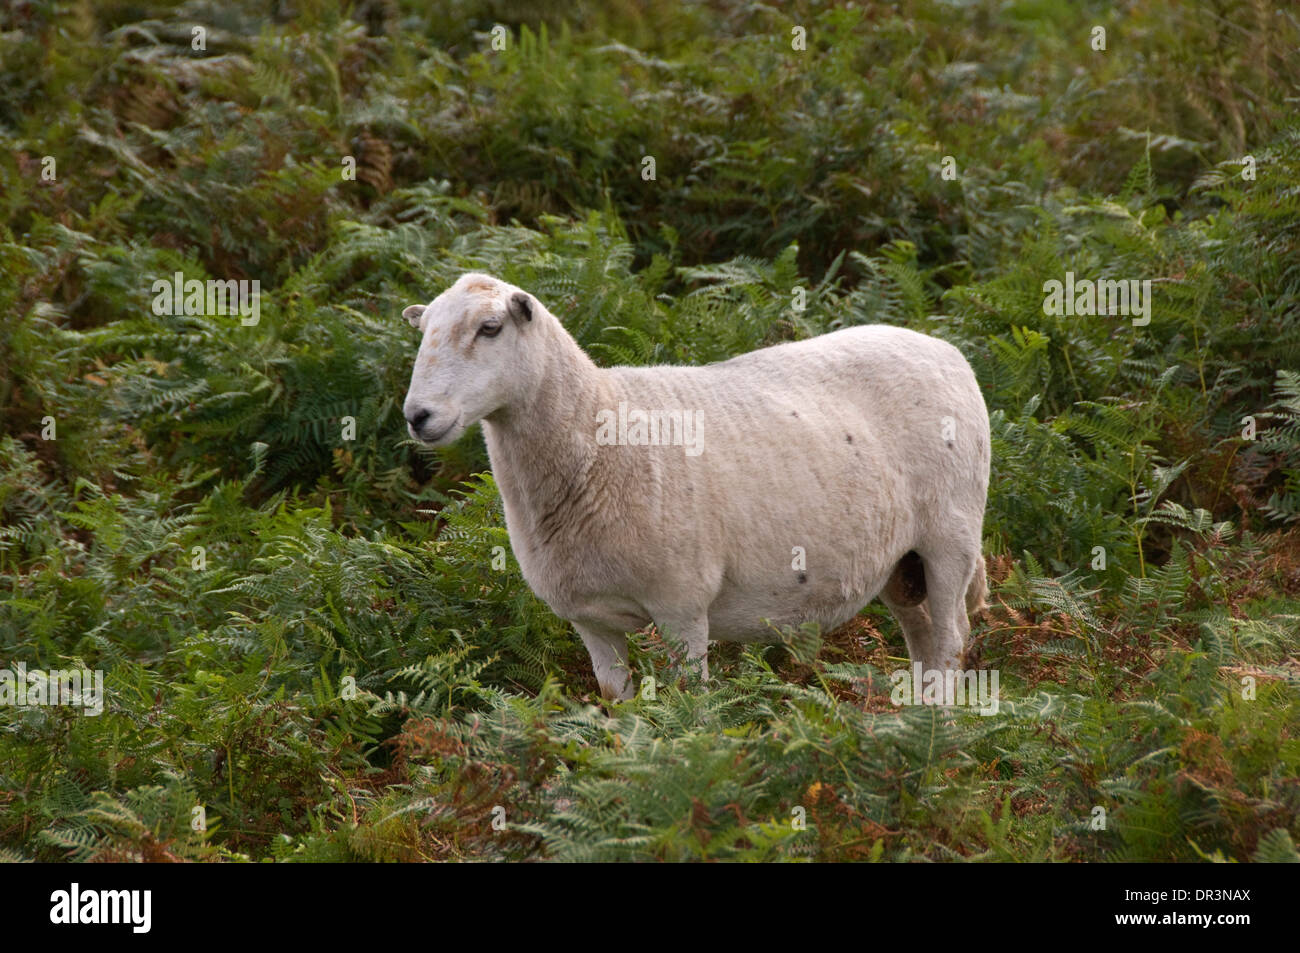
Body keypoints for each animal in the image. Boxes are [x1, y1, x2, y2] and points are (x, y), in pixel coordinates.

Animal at [402, 272, 991, 701]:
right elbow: (619, 704)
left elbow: (691, 707)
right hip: (899, 560)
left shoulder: (682, 607)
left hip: (952, 535)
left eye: (490, 328)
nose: (417, 416)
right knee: (922, 634)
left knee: (951, 640)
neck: (600, 437)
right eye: (423, 330)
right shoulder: (589, 620)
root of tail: (943, 348)